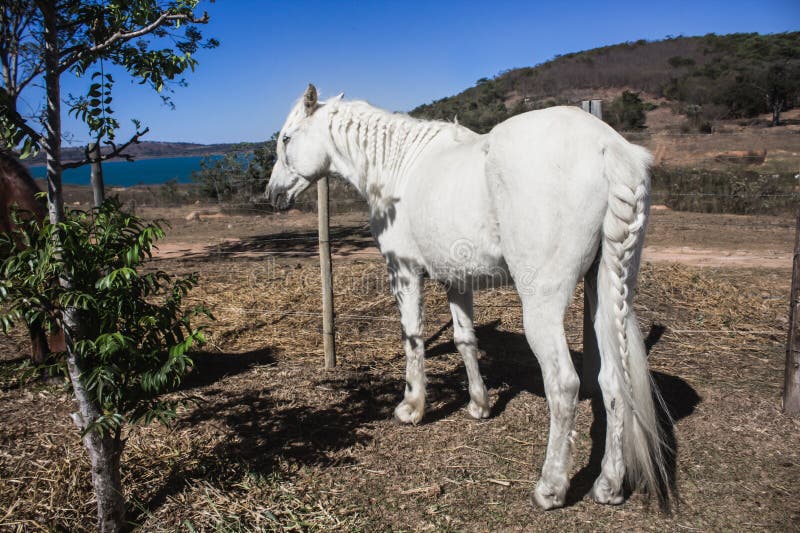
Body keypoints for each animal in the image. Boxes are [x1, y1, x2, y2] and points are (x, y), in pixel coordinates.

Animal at [267, 84, 670, 510]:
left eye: (286, 138)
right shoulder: (456, 281)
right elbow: (464, 340)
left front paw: (412, 407)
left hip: (543, 307)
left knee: (563, 386)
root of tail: (609, 148)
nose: (272, 194)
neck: (399, 167)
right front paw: (479, 405)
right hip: (608, 289)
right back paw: (609, 485)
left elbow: (412, 339)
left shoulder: (404, 272)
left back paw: (550, 487)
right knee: (613, 382)